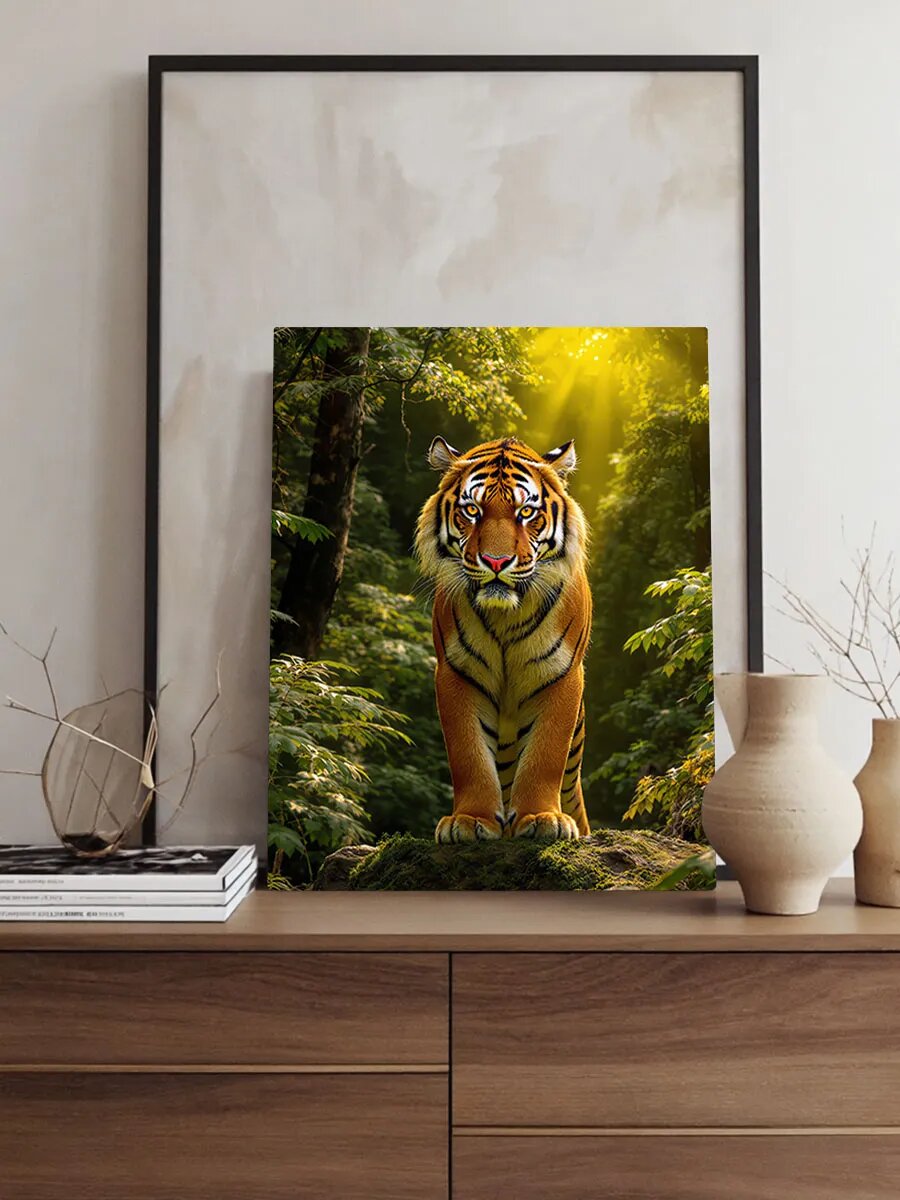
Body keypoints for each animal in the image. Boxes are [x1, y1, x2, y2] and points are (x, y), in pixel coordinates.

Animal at [415, 435, 592, 844]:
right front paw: (469, 821)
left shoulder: (562, 674)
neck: (505, 615)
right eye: (472, 510)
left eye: (526, 512)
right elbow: (468, 754)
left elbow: (546, 753)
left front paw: (543, 818)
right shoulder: (455, 673)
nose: (496, 562)